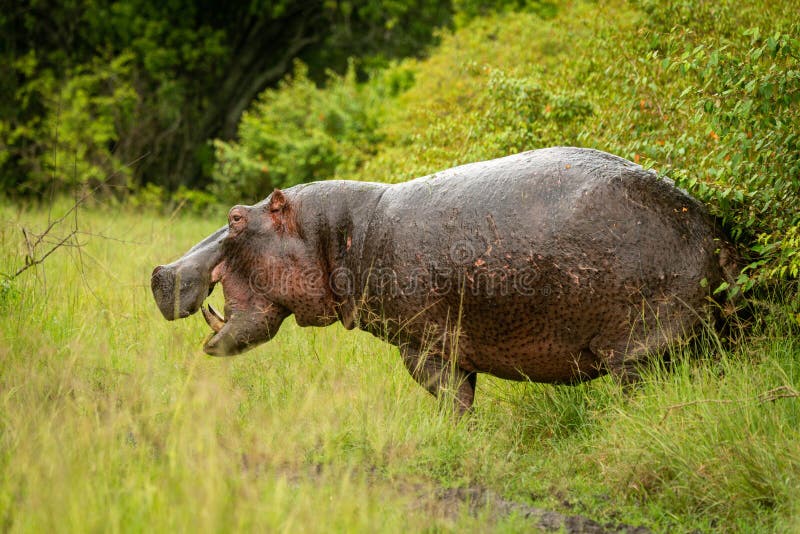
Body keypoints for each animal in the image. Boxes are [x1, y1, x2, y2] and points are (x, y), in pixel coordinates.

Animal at [152, 147, 738, 414]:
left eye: (235, 218)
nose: (159, 273)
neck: (336, 234)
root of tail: (713, 232)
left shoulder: (425, 345)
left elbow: (452, 399)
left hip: (638, 353)